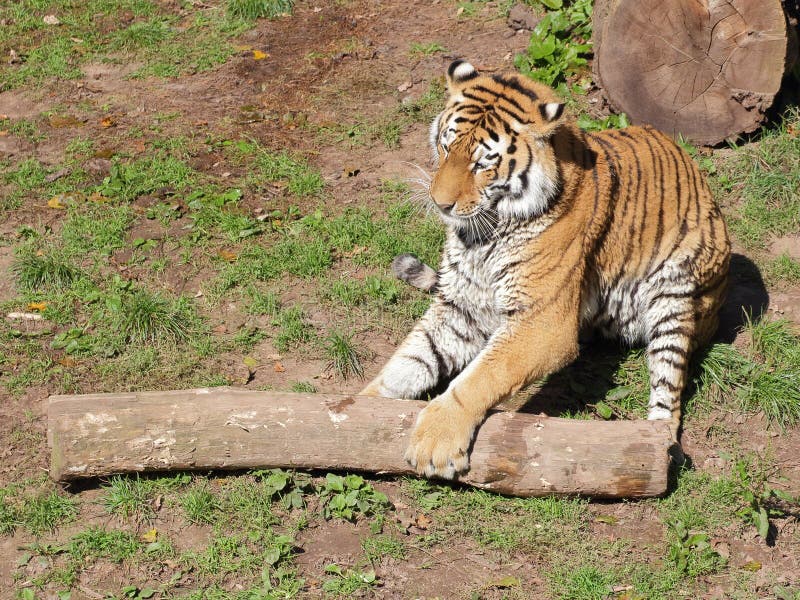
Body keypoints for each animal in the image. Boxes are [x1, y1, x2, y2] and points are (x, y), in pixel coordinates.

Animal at [360, 60, 730, 479]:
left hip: (677, 293)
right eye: (446, 145)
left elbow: (481, 377)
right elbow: (409, 361)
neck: (484, 234)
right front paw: (358, 409)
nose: (440, 203)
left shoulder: (543, 321)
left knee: (669, 394)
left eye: (482, 163)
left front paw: (435, 440)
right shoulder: (461, 304)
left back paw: (658, 444)